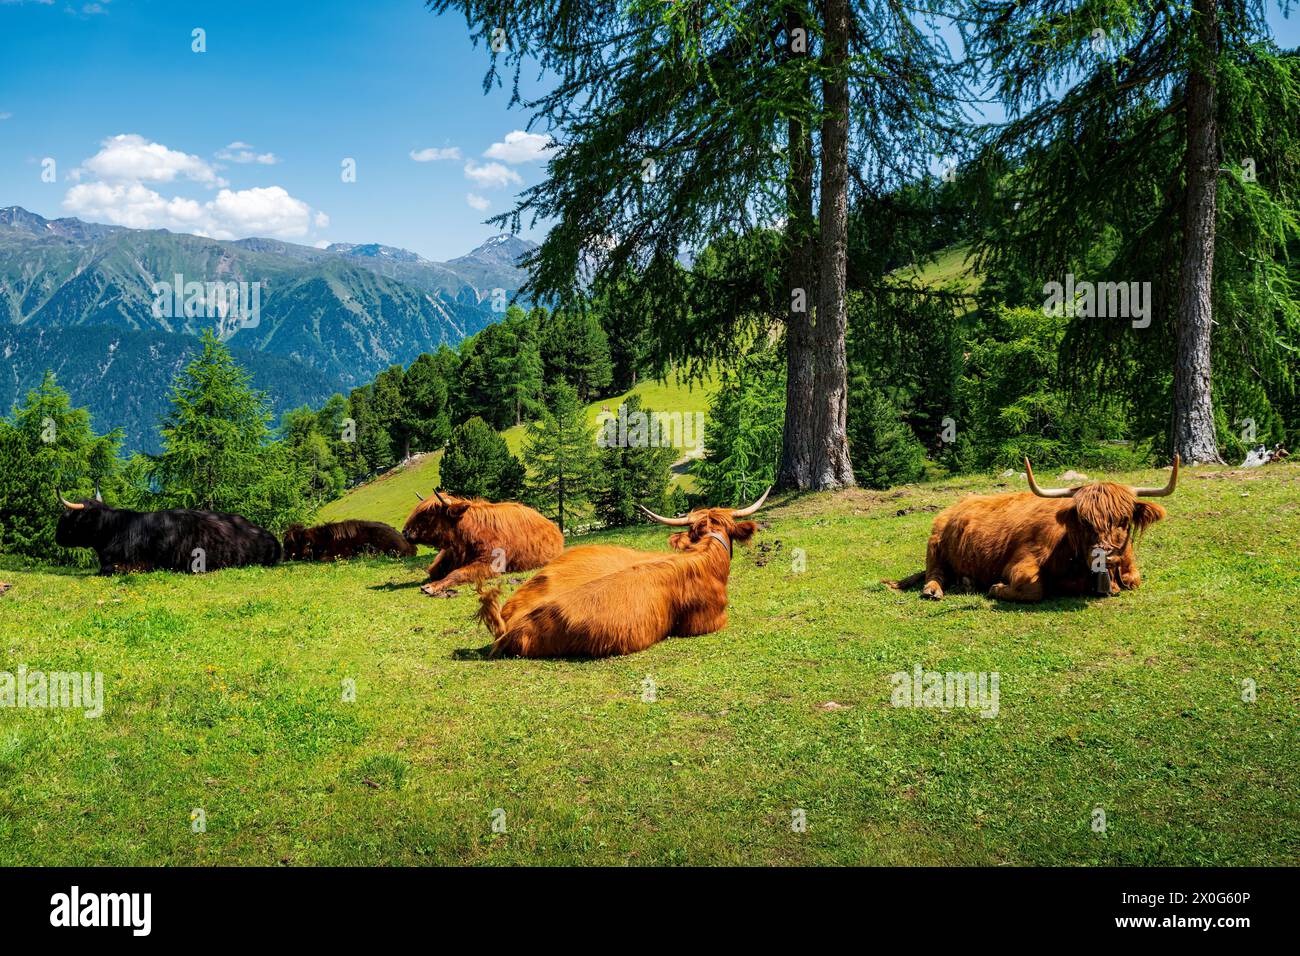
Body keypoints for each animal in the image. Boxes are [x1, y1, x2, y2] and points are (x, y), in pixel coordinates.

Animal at [402, 489, 564, 596]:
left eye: (426, 515)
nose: (404, 532)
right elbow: (433, 570)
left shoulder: (490, 564)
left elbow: (457, 573)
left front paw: (431, 587)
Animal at [886, 457, 1177, 603]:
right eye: (1084, 521)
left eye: (1124, 520)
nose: (1104, 554)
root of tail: (956, 504)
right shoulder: (1021, 562)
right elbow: (1035, 589)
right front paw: (995, 588)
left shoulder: (1130, 571)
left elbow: (1134, 579)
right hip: (934, 546)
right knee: (934, 574)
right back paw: (934, 590)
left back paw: (966, 583)